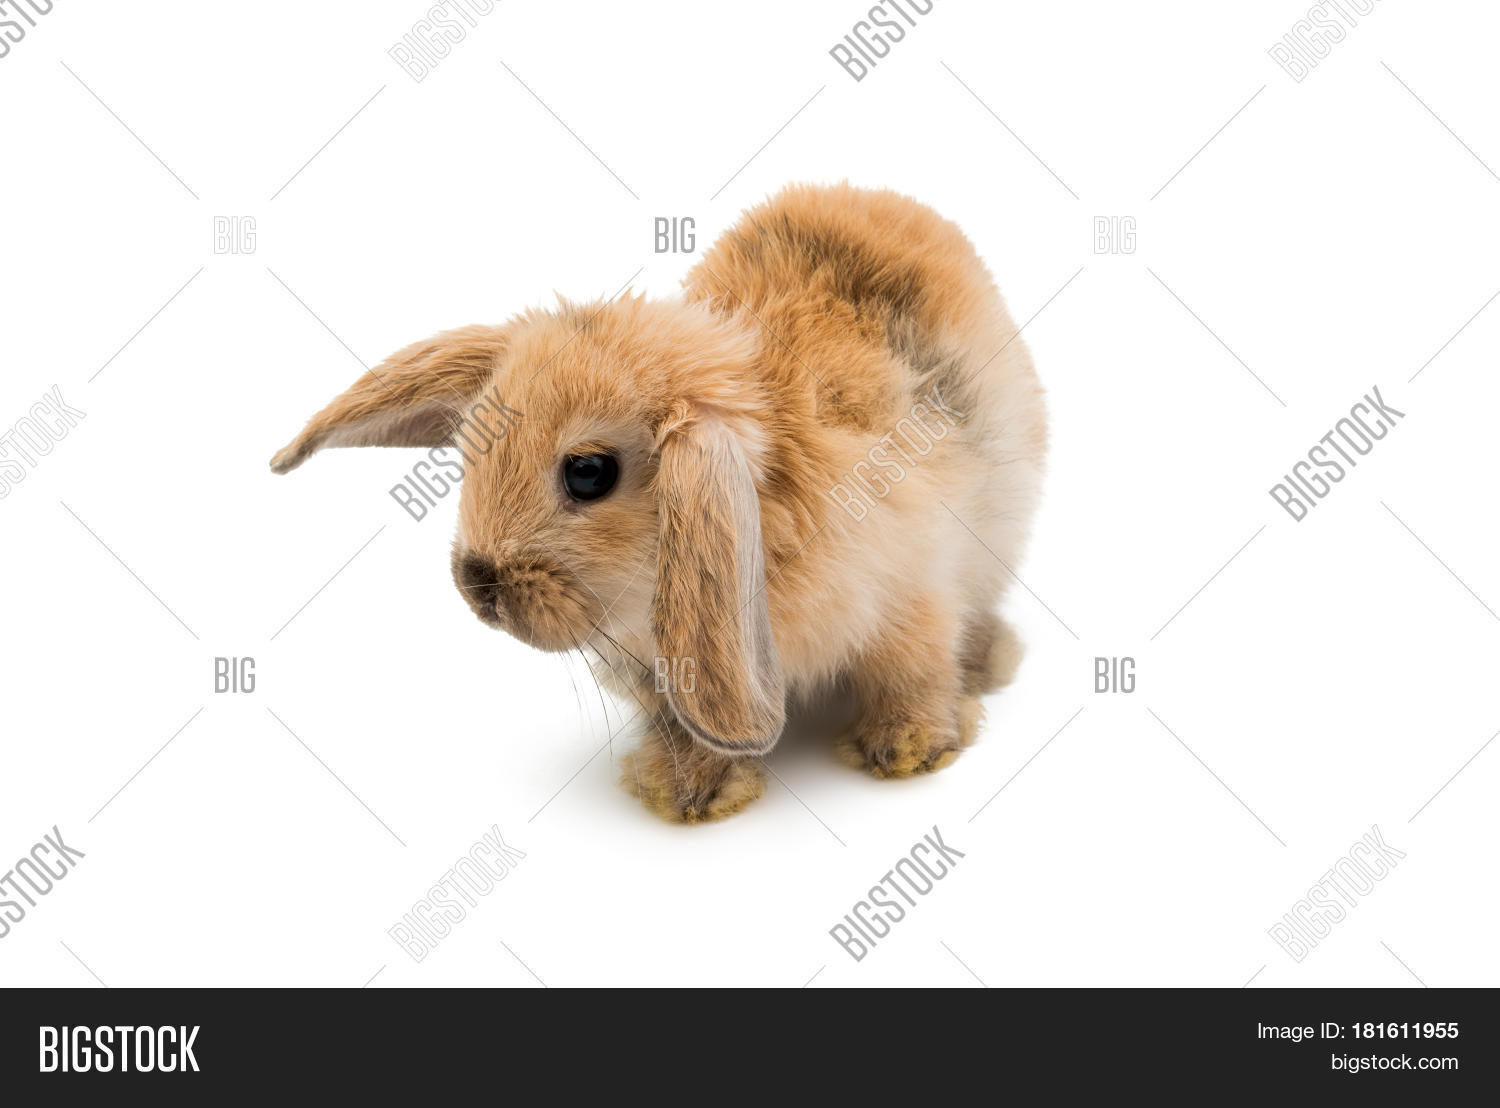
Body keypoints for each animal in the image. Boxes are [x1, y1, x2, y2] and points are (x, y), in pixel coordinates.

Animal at [270, 182, 1047, 823]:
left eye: (588, 473)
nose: (478, 585)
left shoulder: (913, 589)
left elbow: (912, 671)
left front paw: (909, 748)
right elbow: (681, 729)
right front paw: (682, 791)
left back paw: (990, 664)